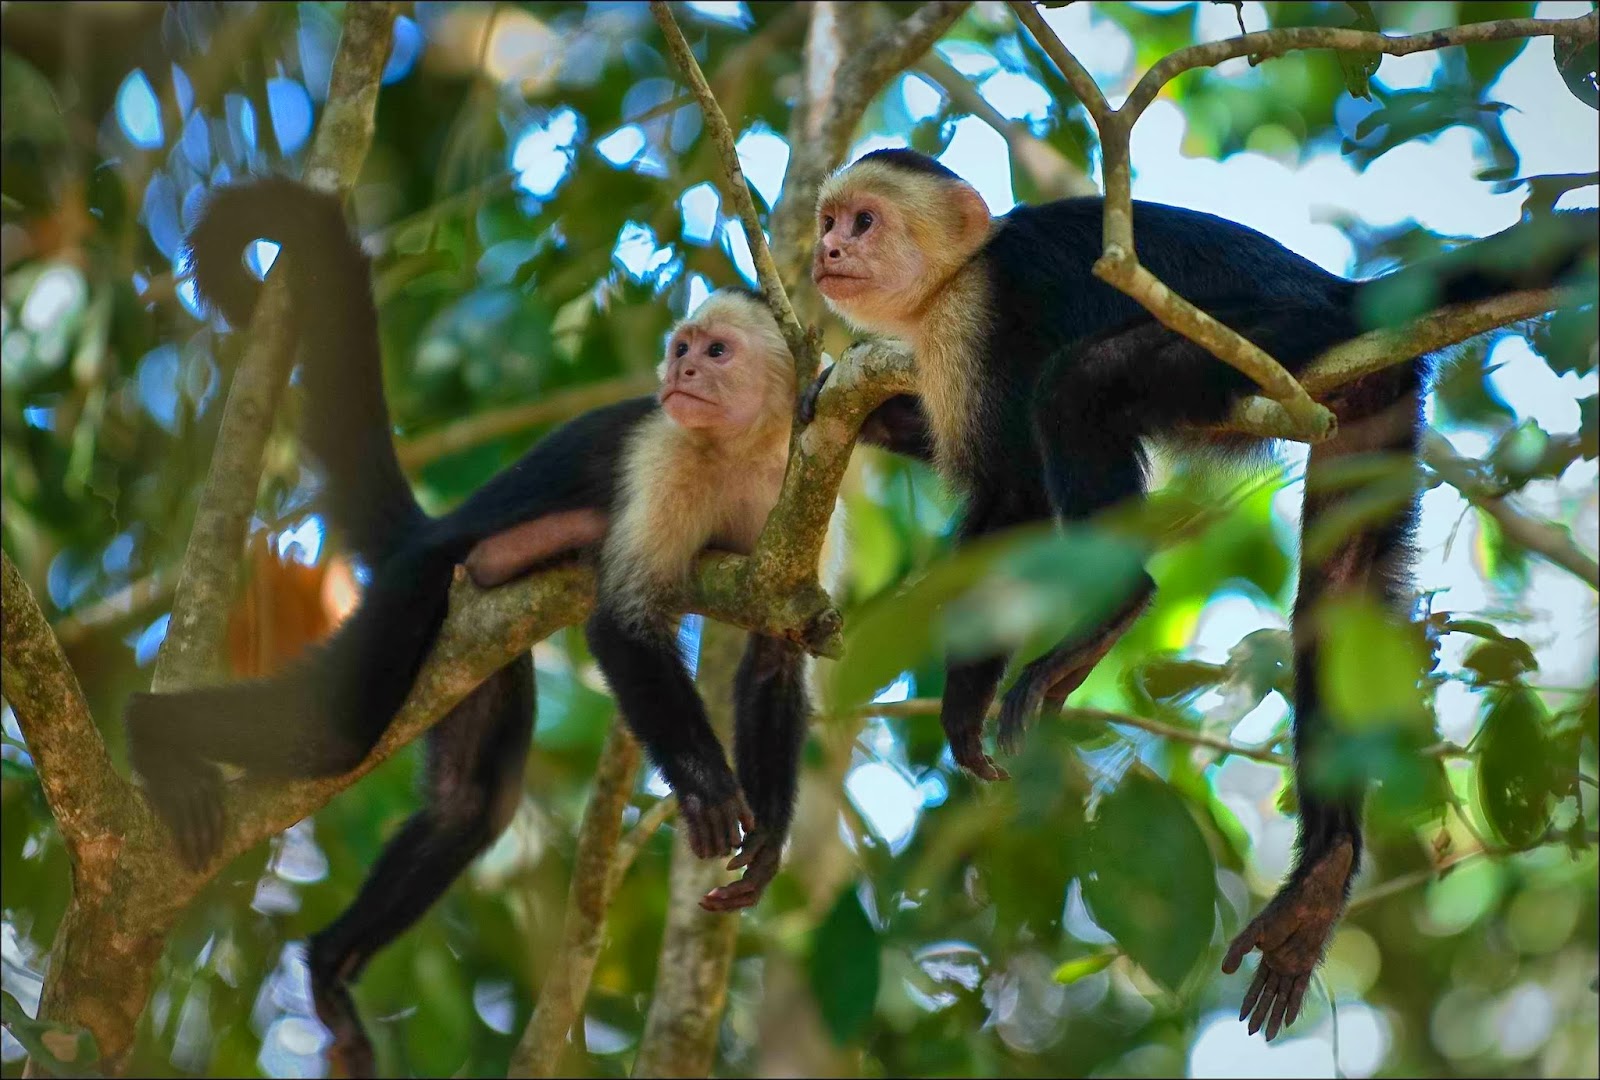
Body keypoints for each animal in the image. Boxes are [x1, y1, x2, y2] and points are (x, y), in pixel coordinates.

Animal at [122, 179, 817, 1076]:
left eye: (717, 352)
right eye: (682, 348)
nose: (683, 369)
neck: (741, 451)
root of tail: (430, 531)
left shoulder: (797, 485)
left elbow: (774, 654)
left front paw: (769, 840)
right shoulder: (666, 456)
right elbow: (620, 622)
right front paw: (704, 785)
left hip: (473, 650)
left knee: (470, 806)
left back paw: (330, 965)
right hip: (417, 586)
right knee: (338, 734)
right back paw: (153, 732)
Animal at [801, 148, 1597, 1040]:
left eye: (863, 222)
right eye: (829, 222)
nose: (827, 250)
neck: (955, 277)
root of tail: (1341, 292)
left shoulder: (979, 318)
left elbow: (1014, 494)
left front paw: (963, 699)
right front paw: (824, 401)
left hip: (1269, 338)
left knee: (1078, 383)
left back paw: (1112, 609)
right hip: (1372, 391)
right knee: (1334, 601)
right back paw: (1324, 874)